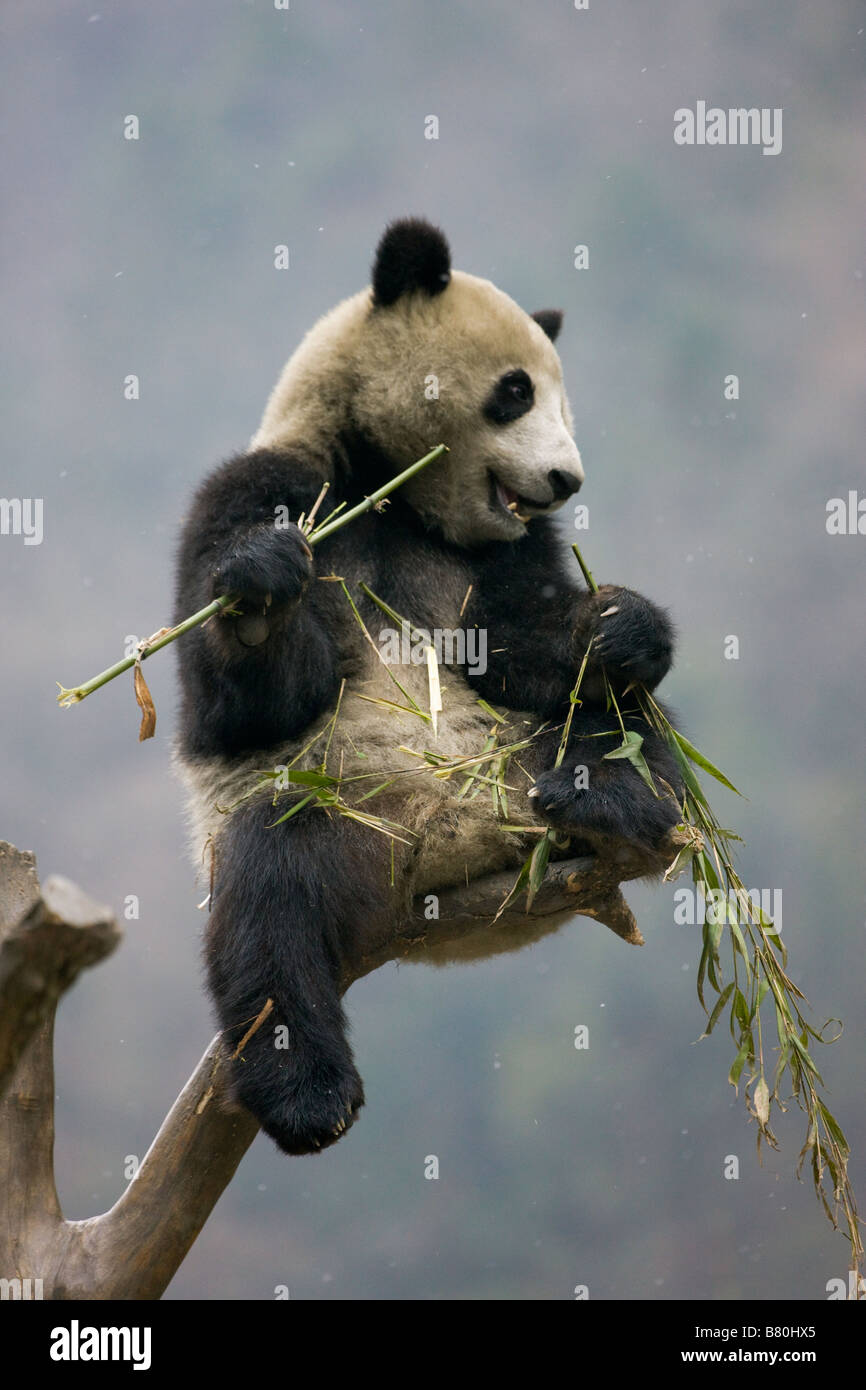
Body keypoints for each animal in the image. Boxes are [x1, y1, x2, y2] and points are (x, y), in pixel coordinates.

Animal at [174, 218, 680, 1156]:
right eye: (516, 392)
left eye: (563, 405)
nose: (566, 480)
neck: (392, 490)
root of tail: (450, 849)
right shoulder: (265, 489)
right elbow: (235, 713)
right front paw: (260, 598)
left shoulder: (505, 550)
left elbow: (524, 644)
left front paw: (621, 623)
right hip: (341, 807)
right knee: (272, 902)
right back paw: (308, 1095)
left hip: (518, 765)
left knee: (612, 720)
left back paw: (614, 799)